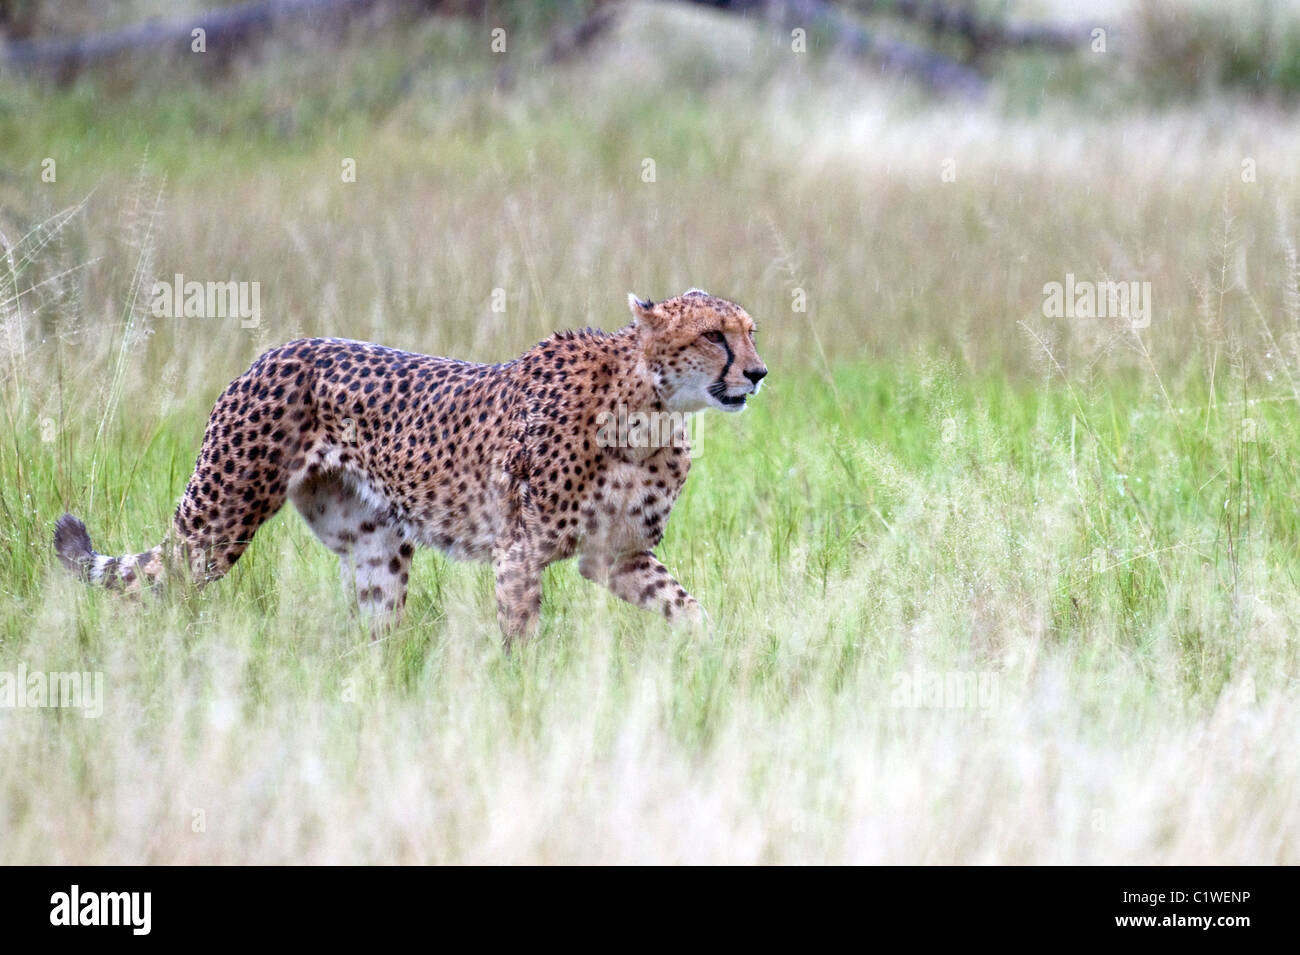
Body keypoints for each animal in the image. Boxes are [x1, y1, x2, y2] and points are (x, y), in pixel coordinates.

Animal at [53, 289, 767, 645]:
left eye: (750, 330)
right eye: (714, 335)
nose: (759, 373)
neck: (650, 408)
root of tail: (274, 350)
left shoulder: (615, 554)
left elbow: (687, 607)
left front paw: (725, 656)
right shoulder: (519, 552)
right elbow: (522, 638)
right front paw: (524, 702)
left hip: (375, 547)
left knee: (377, 635)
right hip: (219, 523)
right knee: (158, 583)